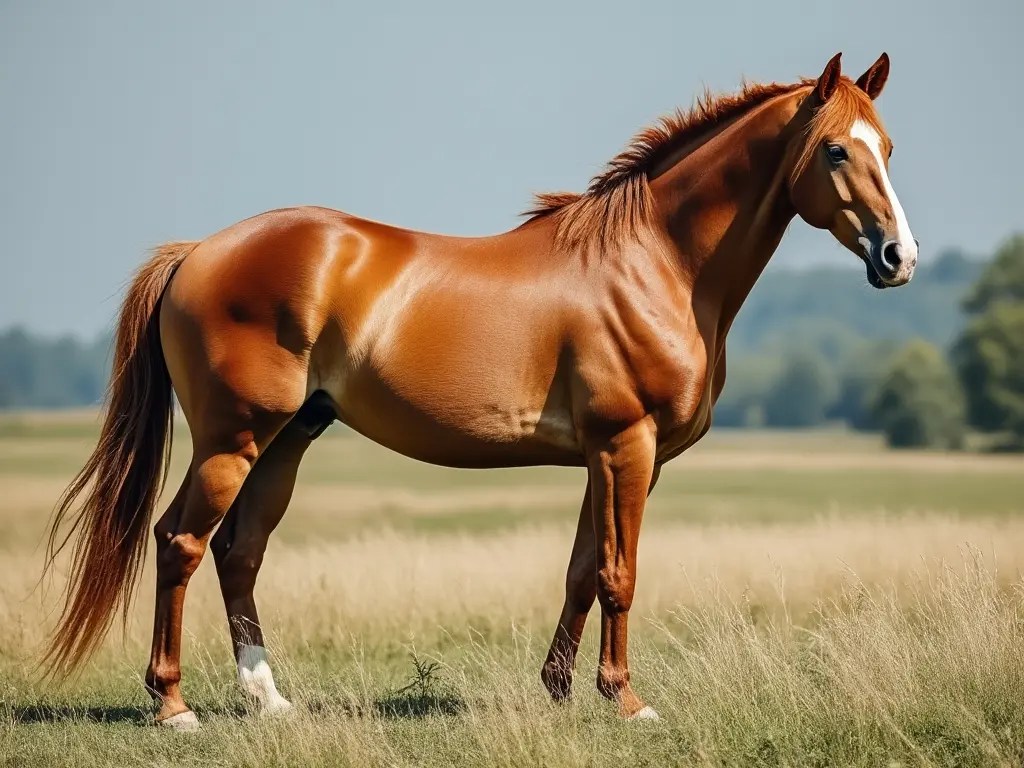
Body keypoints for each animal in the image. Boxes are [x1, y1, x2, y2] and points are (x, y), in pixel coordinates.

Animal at [42, 52, 916, 728]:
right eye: (835, 152)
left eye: (887, 147)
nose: (898, 258)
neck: (655, 262)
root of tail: (196, 251)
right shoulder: (627, 446)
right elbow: (619, 574)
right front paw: (627, 701)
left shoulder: (607, 456)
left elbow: (582, 569)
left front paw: (562, 692)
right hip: (235, 438)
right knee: (181, 543)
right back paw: (173, 706)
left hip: (289, 438)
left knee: (239, 548)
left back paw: (269, 700)